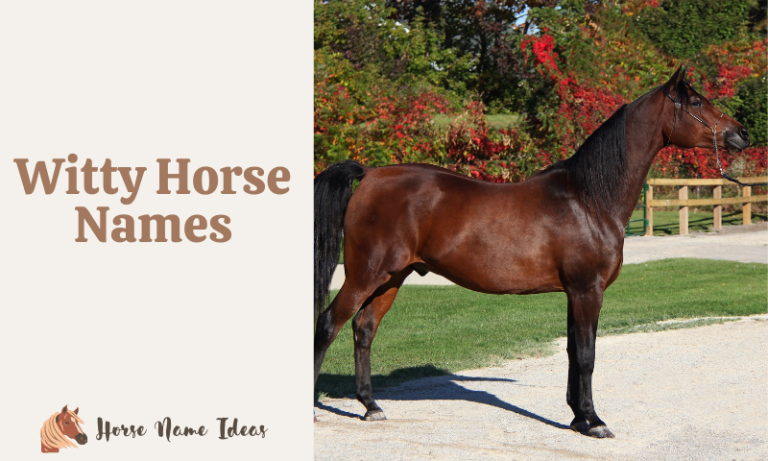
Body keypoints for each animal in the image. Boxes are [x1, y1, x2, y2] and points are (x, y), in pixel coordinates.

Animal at [313, 67, 750, 438]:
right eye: (696, 103)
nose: (742, 133)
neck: (590, 198)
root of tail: (370, 174)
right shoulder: (588, 290)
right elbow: (587, 355)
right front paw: (594, 422)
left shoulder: (575, 293)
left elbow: (574, 351)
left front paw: (577, 417)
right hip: (364, 275)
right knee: (329, 324)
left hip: (392, 278)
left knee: (363, 329)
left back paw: (371, 407)